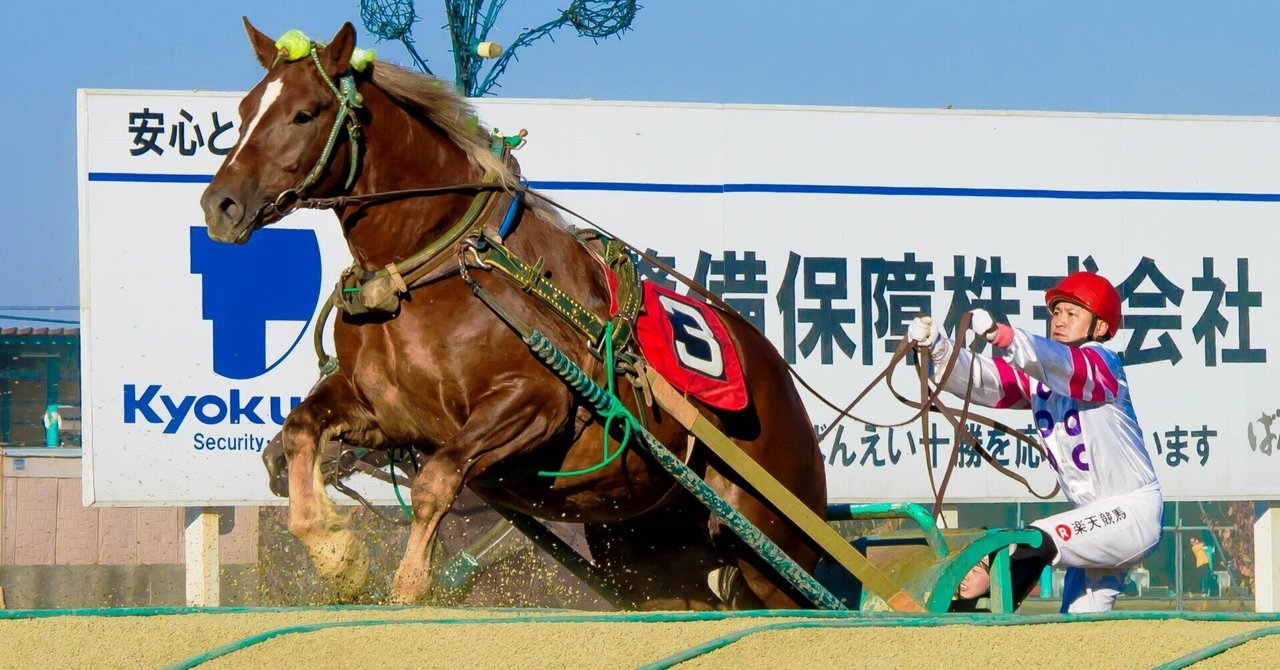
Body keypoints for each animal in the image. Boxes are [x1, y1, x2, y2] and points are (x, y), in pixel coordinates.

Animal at [200, 18, 828, 609]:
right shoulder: (379, 411)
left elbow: (437, 480)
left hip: (773, 548)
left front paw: (408, 586)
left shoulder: (536, 403)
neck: (427, 272)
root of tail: (780, 377)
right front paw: (340, 559)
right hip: (651, 549)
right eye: (243, 111)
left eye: (304, 114)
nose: (220, 204)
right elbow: (303, 430)